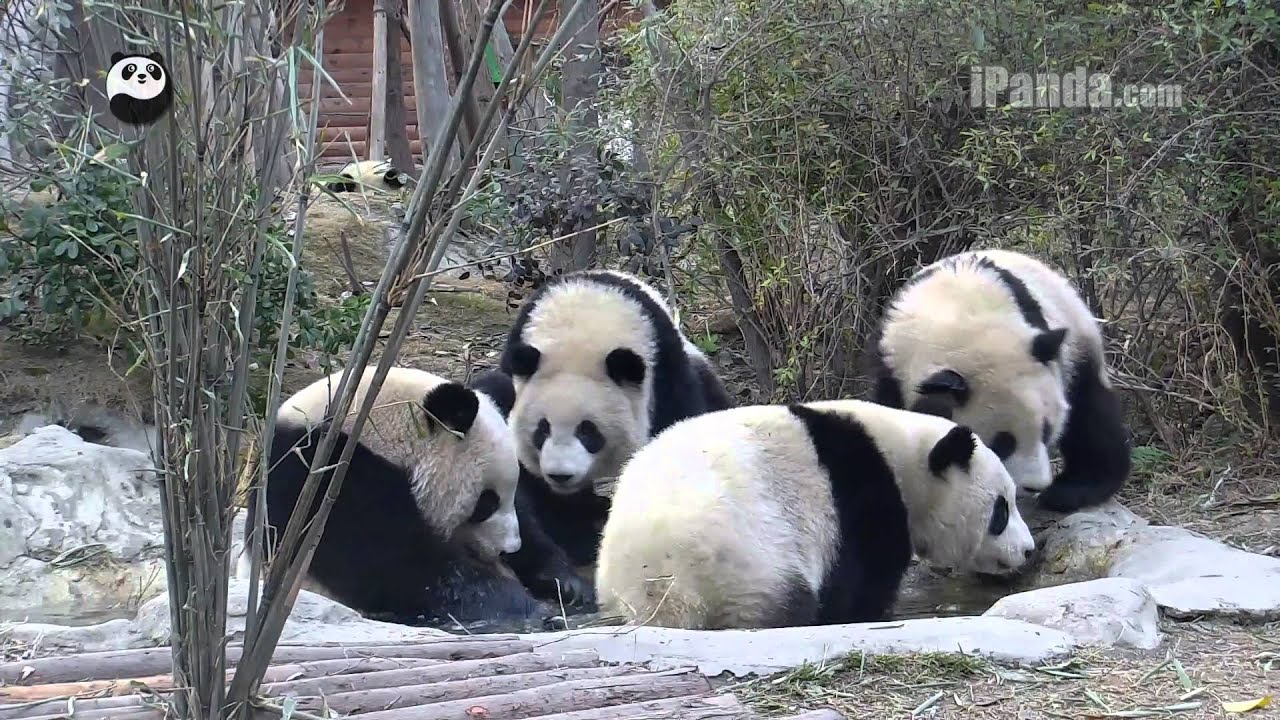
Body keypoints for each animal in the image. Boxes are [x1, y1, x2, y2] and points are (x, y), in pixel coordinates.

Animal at [594, 400, 1036, 630]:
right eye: (1002, 509)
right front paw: (865, 614)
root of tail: (660, 595)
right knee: (785, 600)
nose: (1029, 550)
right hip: (742, 560)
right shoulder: (860, 497)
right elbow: (863, 578)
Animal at [870, 248, 1130, 514]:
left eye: (1046, 430)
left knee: (1089, 413)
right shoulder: (893, 371)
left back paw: (1073, 489)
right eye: (1003, 442)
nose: (1034, 486)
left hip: (1077, 339)